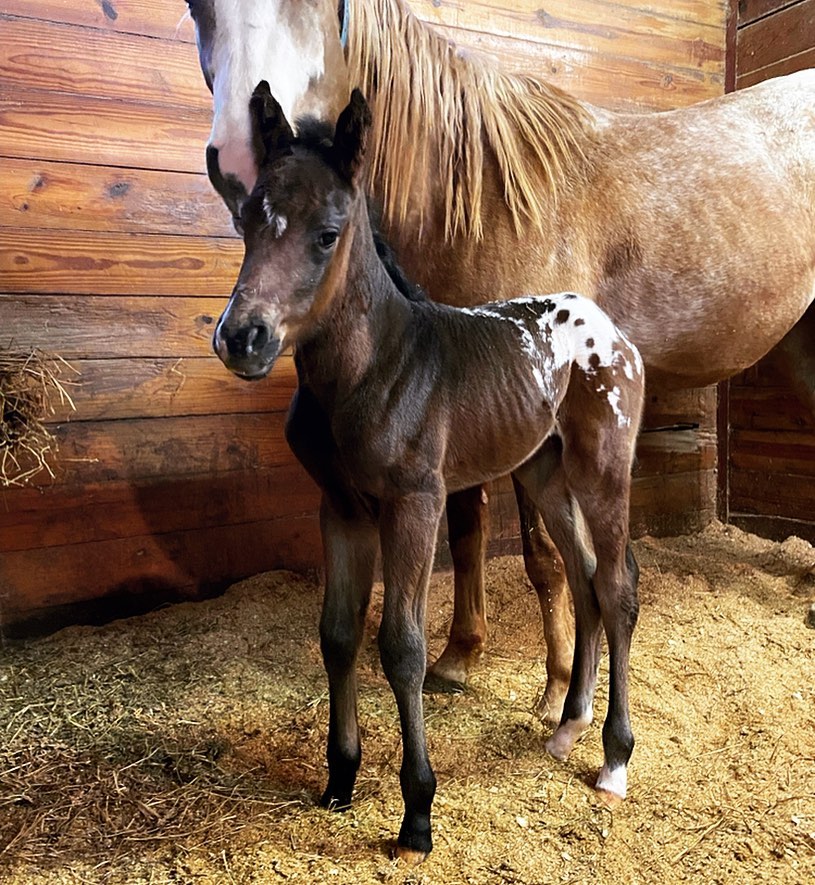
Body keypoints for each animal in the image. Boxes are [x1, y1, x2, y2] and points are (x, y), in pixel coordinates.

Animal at [185, 0, 815, 722]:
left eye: (319, 8)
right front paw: (459, 655)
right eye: (197, 10)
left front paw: (557, 687)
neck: (485, 200)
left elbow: (542, 554)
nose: (238, 158)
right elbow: (466, 532)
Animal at [213, 81, 645, 861]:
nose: (242, 338)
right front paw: (339, 780)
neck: (372, 367)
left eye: (327, 234)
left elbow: (403, 646)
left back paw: (614, 759)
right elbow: (338, 633)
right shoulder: (341, 508)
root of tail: (608, 329)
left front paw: (417, 813)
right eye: (248, 221)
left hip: (601, 467)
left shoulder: (415, 502)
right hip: (543, 473)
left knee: (619, 587)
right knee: (586, 578)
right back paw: (566, 728)